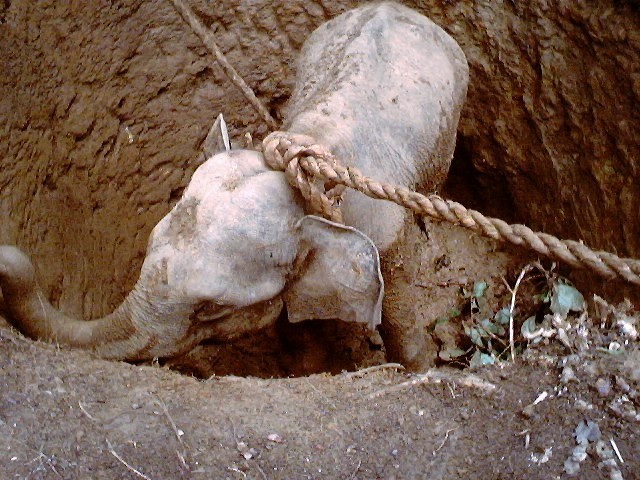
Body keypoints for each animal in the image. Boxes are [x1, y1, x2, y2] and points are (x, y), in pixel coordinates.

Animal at [0, 2, 468, 368]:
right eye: (148, 247)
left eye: (213, 309)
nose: (11, 256)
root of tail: (396, 6)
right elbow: (293, 322)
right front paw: (305, 368)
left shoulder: (386, 233)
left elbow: (399, 310)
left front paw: (418, 368)